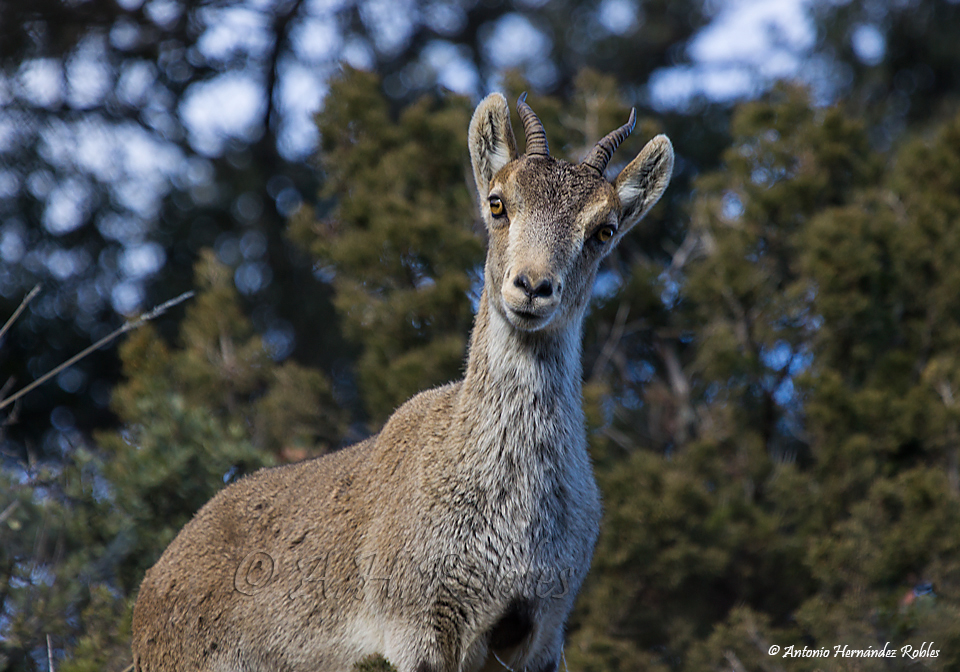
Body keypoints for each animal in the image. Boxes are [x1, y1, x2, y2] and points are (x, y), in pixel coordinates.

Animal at [131, 92, 674, 672]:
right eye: (498, 202)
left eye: (604, 229)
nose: (531, 287)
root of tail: (150, 589)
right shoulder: (416, 627)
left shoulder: (539, 633)